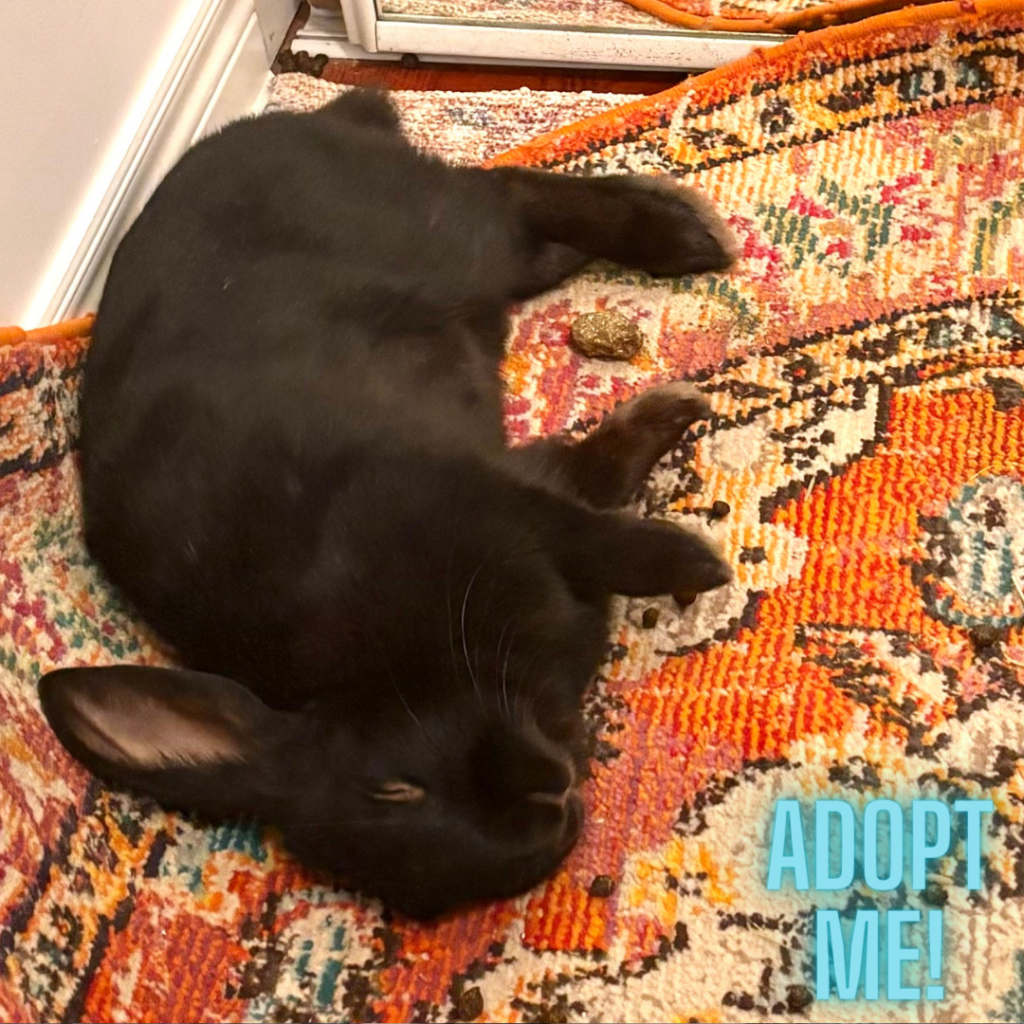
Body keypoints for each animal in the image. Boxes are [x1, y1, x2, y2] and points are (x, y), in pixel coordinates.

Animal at [39, 88, 734, 920]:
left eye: (397, 786)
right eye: (433, 899)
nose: (549, 802)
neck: (399, 665)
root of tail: (320, 119)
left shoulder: (464, 496)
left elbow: (596, 537)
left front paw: (699, 562)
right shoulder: (525, 481)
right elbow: (595, 473)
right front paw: (671, 420)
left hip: (447, 237)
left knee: (506, 191)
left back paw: (690, 234)